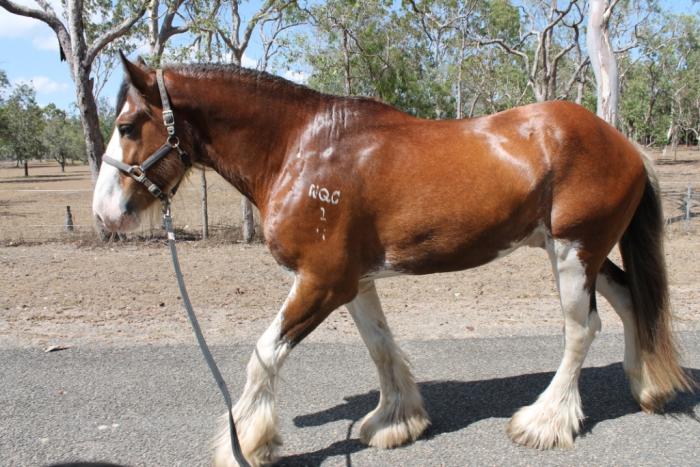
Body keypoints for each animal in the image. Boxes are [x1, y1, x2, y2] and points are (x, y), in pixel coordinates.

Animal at [92, 55, 693, 466]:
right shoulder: (353, 282)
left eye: (126, 126)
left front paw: (248, 443)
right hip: (582, 253)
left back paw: (544, 421)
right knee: (628, 300)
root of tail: (625, 143)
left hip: (573, 252)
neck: (300, 148)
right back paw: (648, 386)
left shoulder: (321, 283)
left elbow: (263, 356)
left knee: (581, 329)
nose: (105, 214)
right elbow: (380, 346)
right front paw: (397, 420)